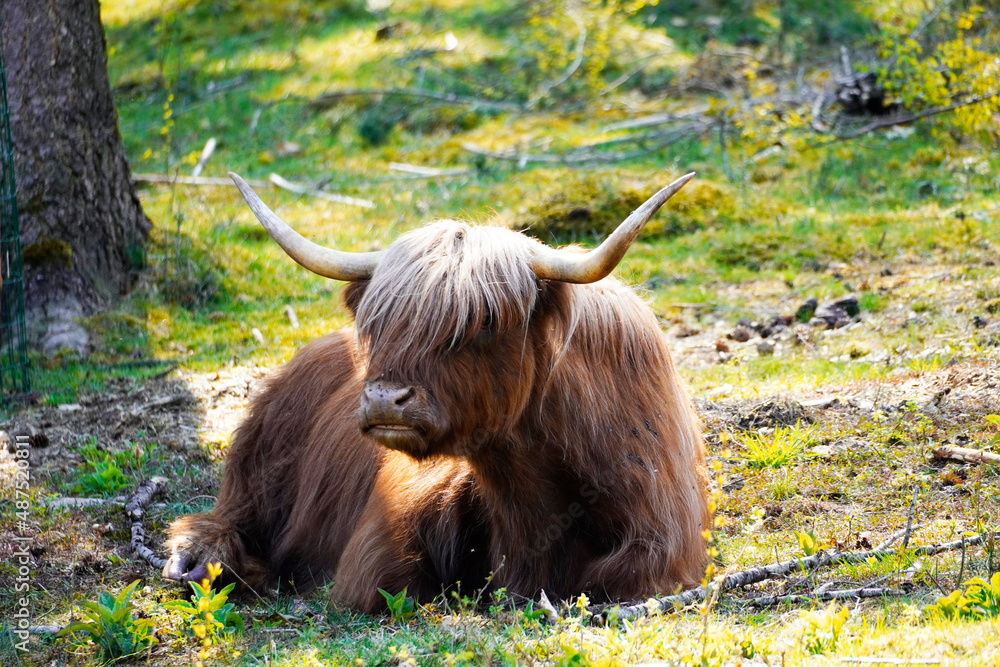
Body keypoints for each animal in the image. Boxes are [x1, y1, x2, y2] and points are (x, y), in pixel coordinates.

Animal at [162, 171, 710, 613]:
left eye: (484, 320)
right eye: (378, 321)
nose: (385, 400)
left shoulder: (666, 544)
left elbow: (611, 579)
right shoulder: (379, 542)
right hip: (258, 464)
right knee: (224, 516)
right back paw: (202, 563)